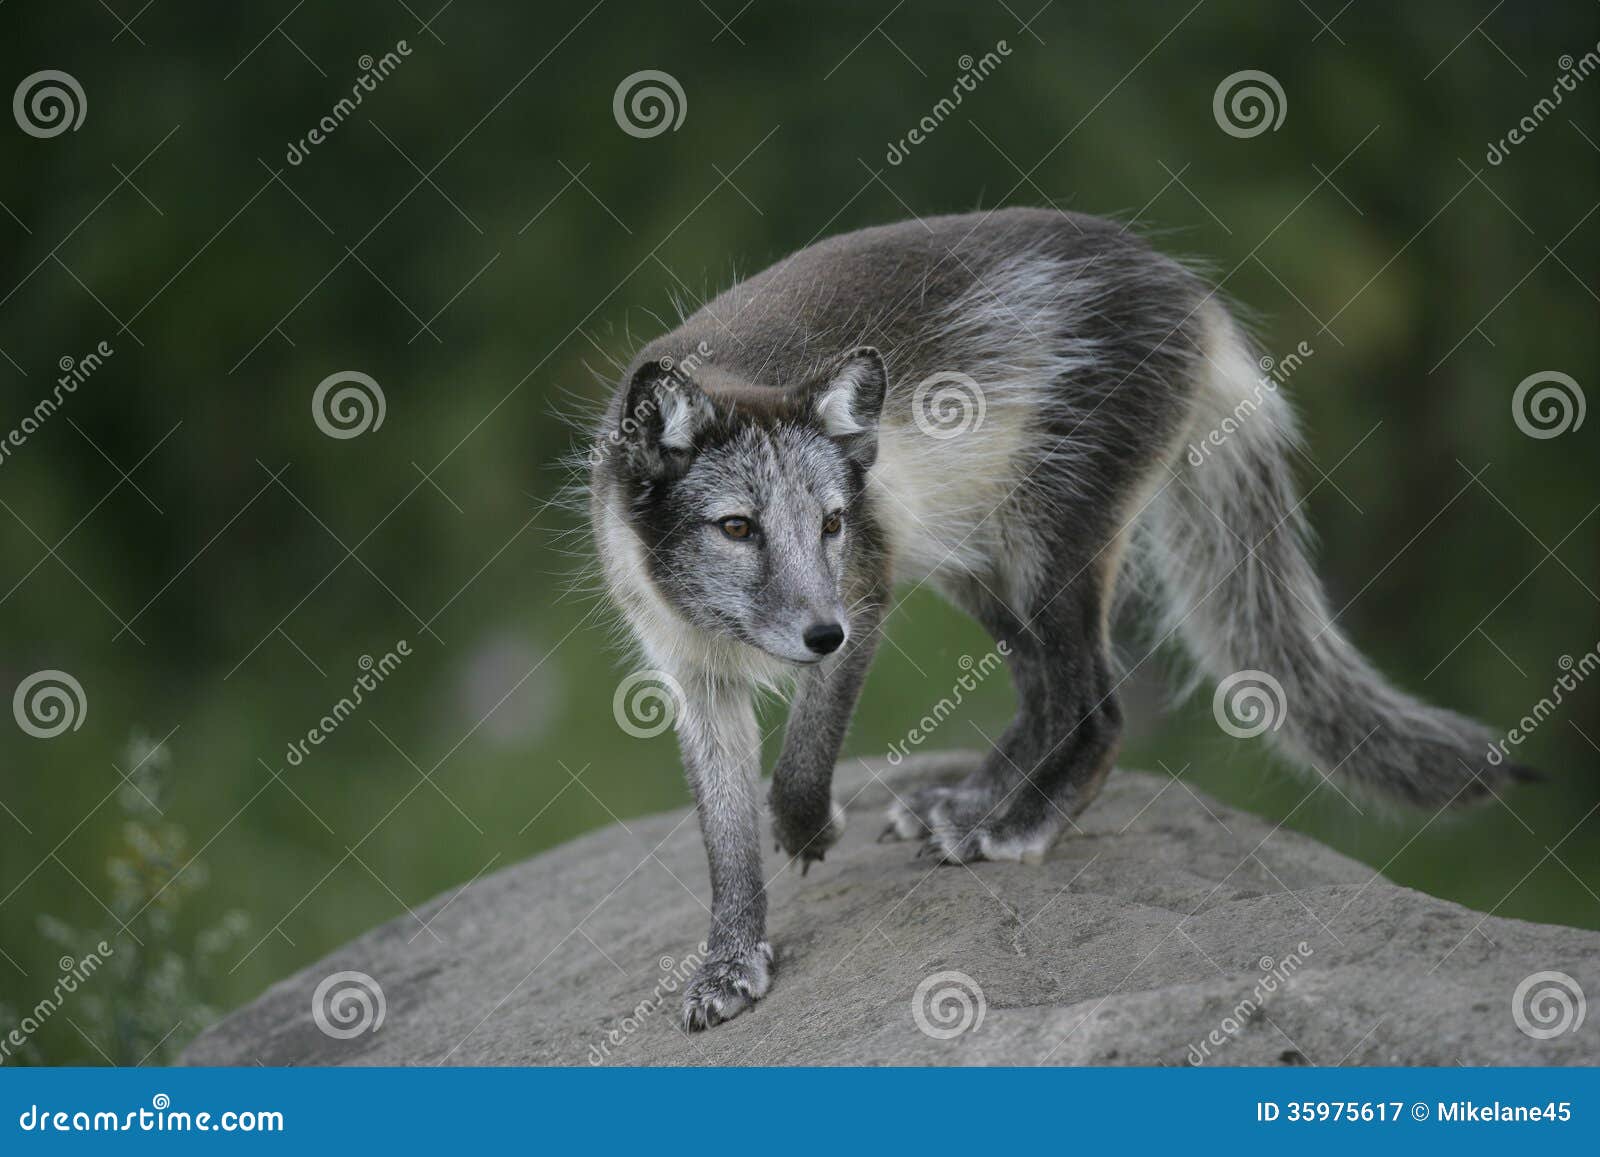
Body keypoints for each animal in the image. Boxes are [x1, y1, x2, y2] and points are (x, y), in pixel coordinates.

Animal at [586, 207, 1532, 1031]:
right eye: (737, 527)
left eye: (831, 523)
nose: (822, 637)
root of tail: (1186, 288)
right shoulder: (691, 675)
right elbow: (724, 839)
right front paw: (731, 961)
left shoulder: (866, 586)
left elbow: (796, 771)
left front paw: (811, 829)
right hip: (978, 563)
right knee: (1048, 688)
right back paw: (973, 800)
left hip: (1048, 546)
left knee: (1097, 706)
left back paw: (1007, 829)